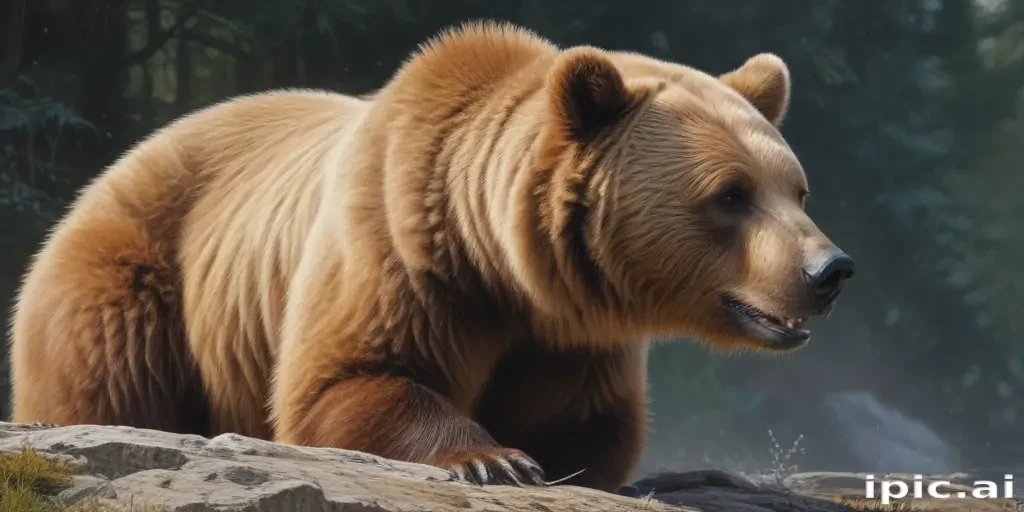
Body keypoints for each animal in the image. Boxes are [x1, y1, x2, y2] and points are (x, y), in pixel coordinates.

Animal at [8, 21, 854, 493]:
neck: (504, 265)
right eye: (731, 195)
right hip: (137, 269)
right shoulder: (401, 254)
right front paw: (491, 459)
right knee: (104, 374)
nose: (829, 271)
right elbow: (347, 381)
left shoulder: (570, 335)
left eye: (796, 188)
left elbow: (592, 426)